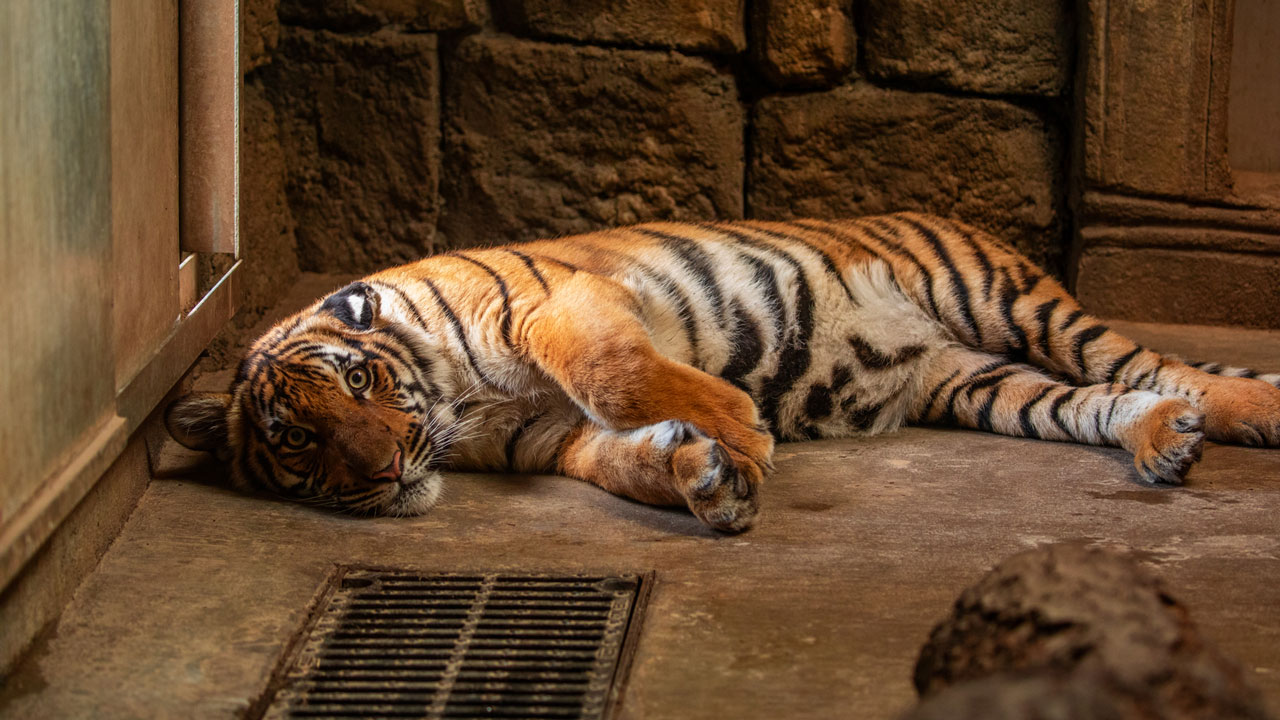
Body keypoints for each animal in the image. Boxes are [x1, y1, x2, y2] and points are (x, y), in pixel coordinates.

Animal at [166, 213, 1280, 532]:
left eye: (358, 388)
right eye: (299, 440)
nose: (388, 470)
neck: (451, 408)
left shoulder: (554, 305)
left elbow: (614, 371)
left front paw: (742, 428)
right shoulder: (544, 436)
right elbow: (616, 455)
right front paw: (704, 474)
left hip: (998, 294)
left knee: (1149, 359)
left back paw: (1240, 410)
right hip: (980, 384)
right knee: (1096, 400)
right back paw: (1160, 440)